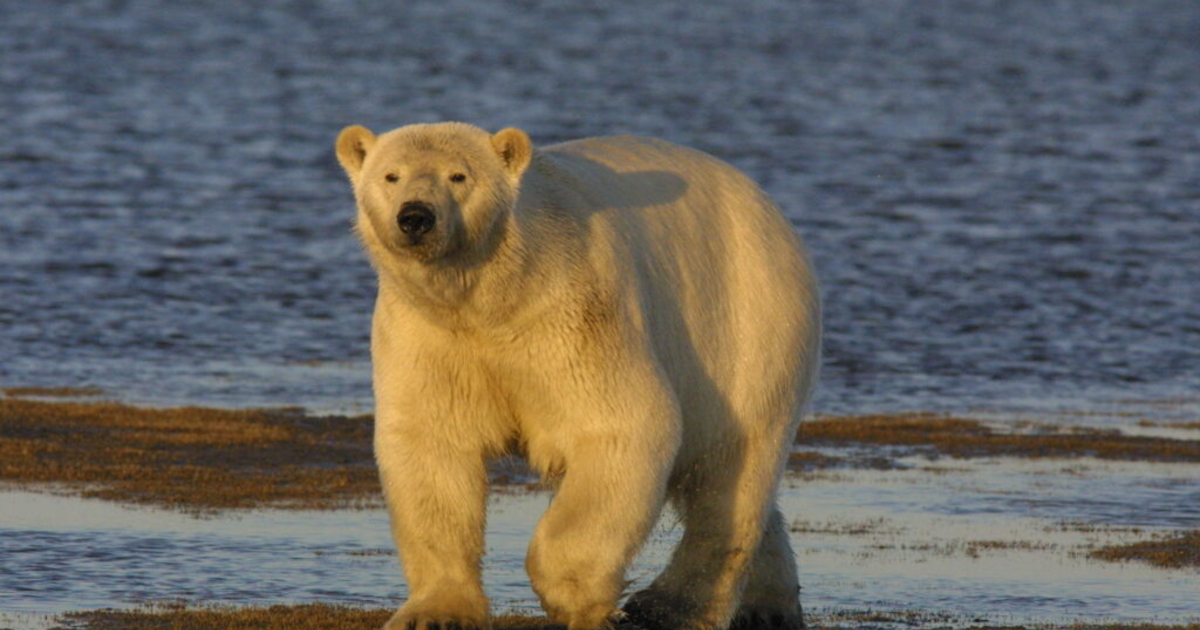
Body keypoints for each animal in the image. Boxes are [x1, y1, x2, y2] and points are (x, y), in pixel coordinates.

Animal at [334, 122, 820, 630]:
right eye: (391, 175)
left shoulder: (572, 315)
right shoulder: (430, 336)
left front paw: (576, 597)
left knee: (731, 470)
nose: (415, 217)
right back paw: (769, 603)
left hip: (746, 326)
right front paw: (435, 612)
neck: (494, 296)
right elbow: (432, 447)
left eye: (458, 176)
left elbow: (621, 426)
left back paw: (669, 604)